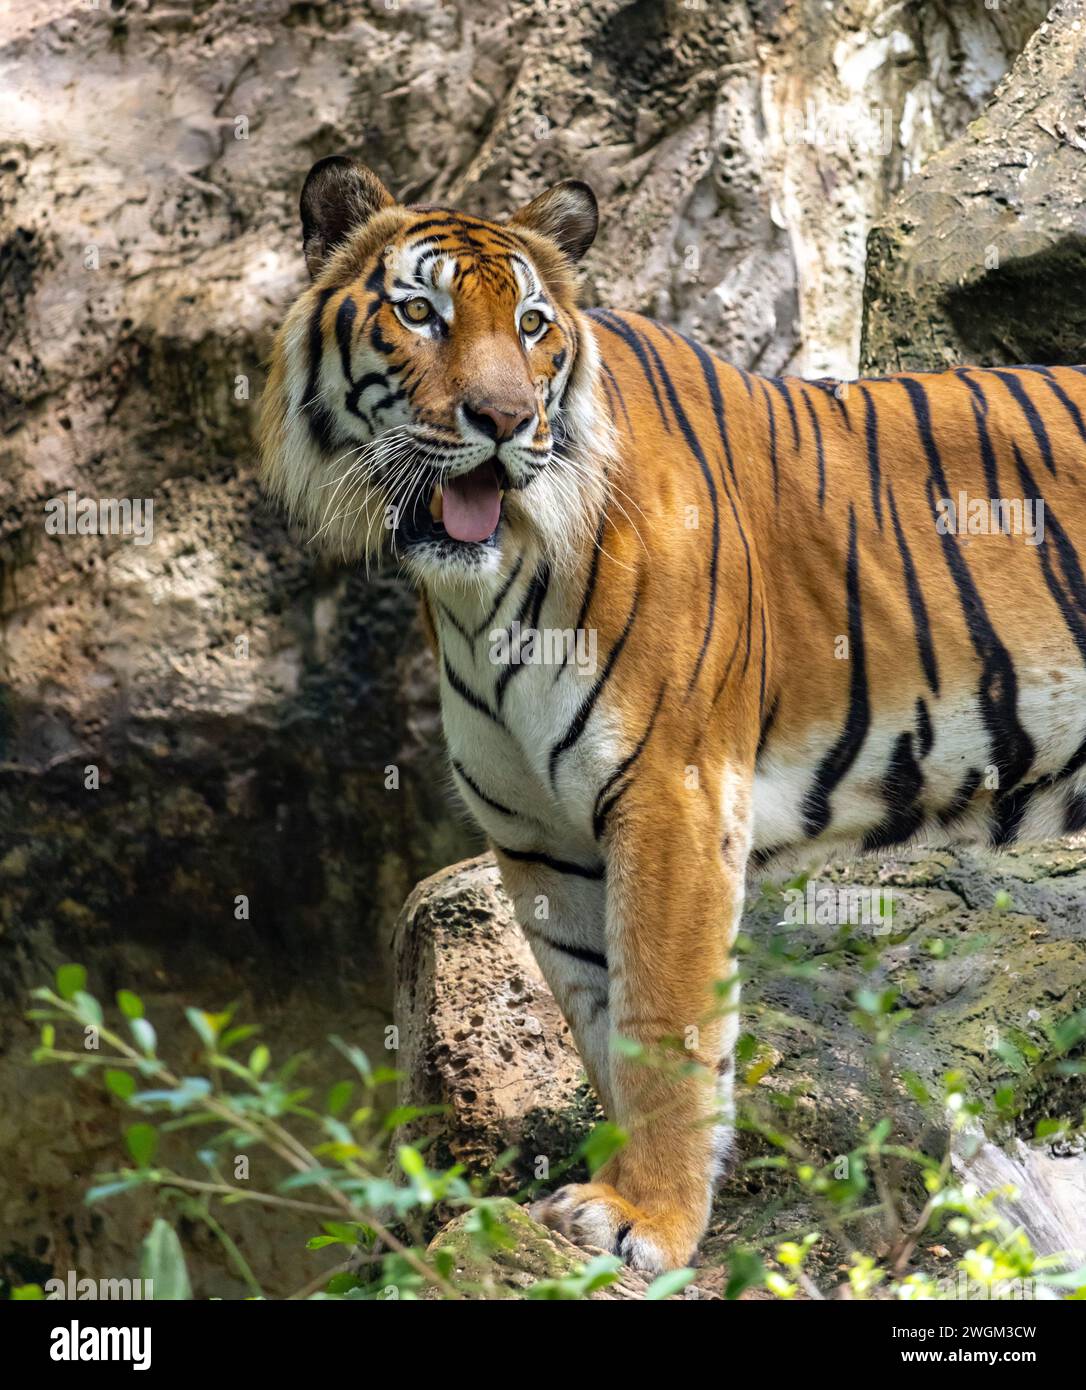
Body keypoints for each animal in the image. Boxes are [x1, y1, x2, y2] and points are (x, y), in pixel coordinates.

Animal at [259, 154, 1086, 1274]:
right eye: (421, 314)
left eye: (531, 324)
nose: (504, 421)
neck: (482, 597)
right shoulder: (543, 839)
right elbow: (599, 1022)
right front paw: (614, 1199)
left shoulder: (673, 794)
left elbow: (665, 1022)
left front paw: (645, 1219)